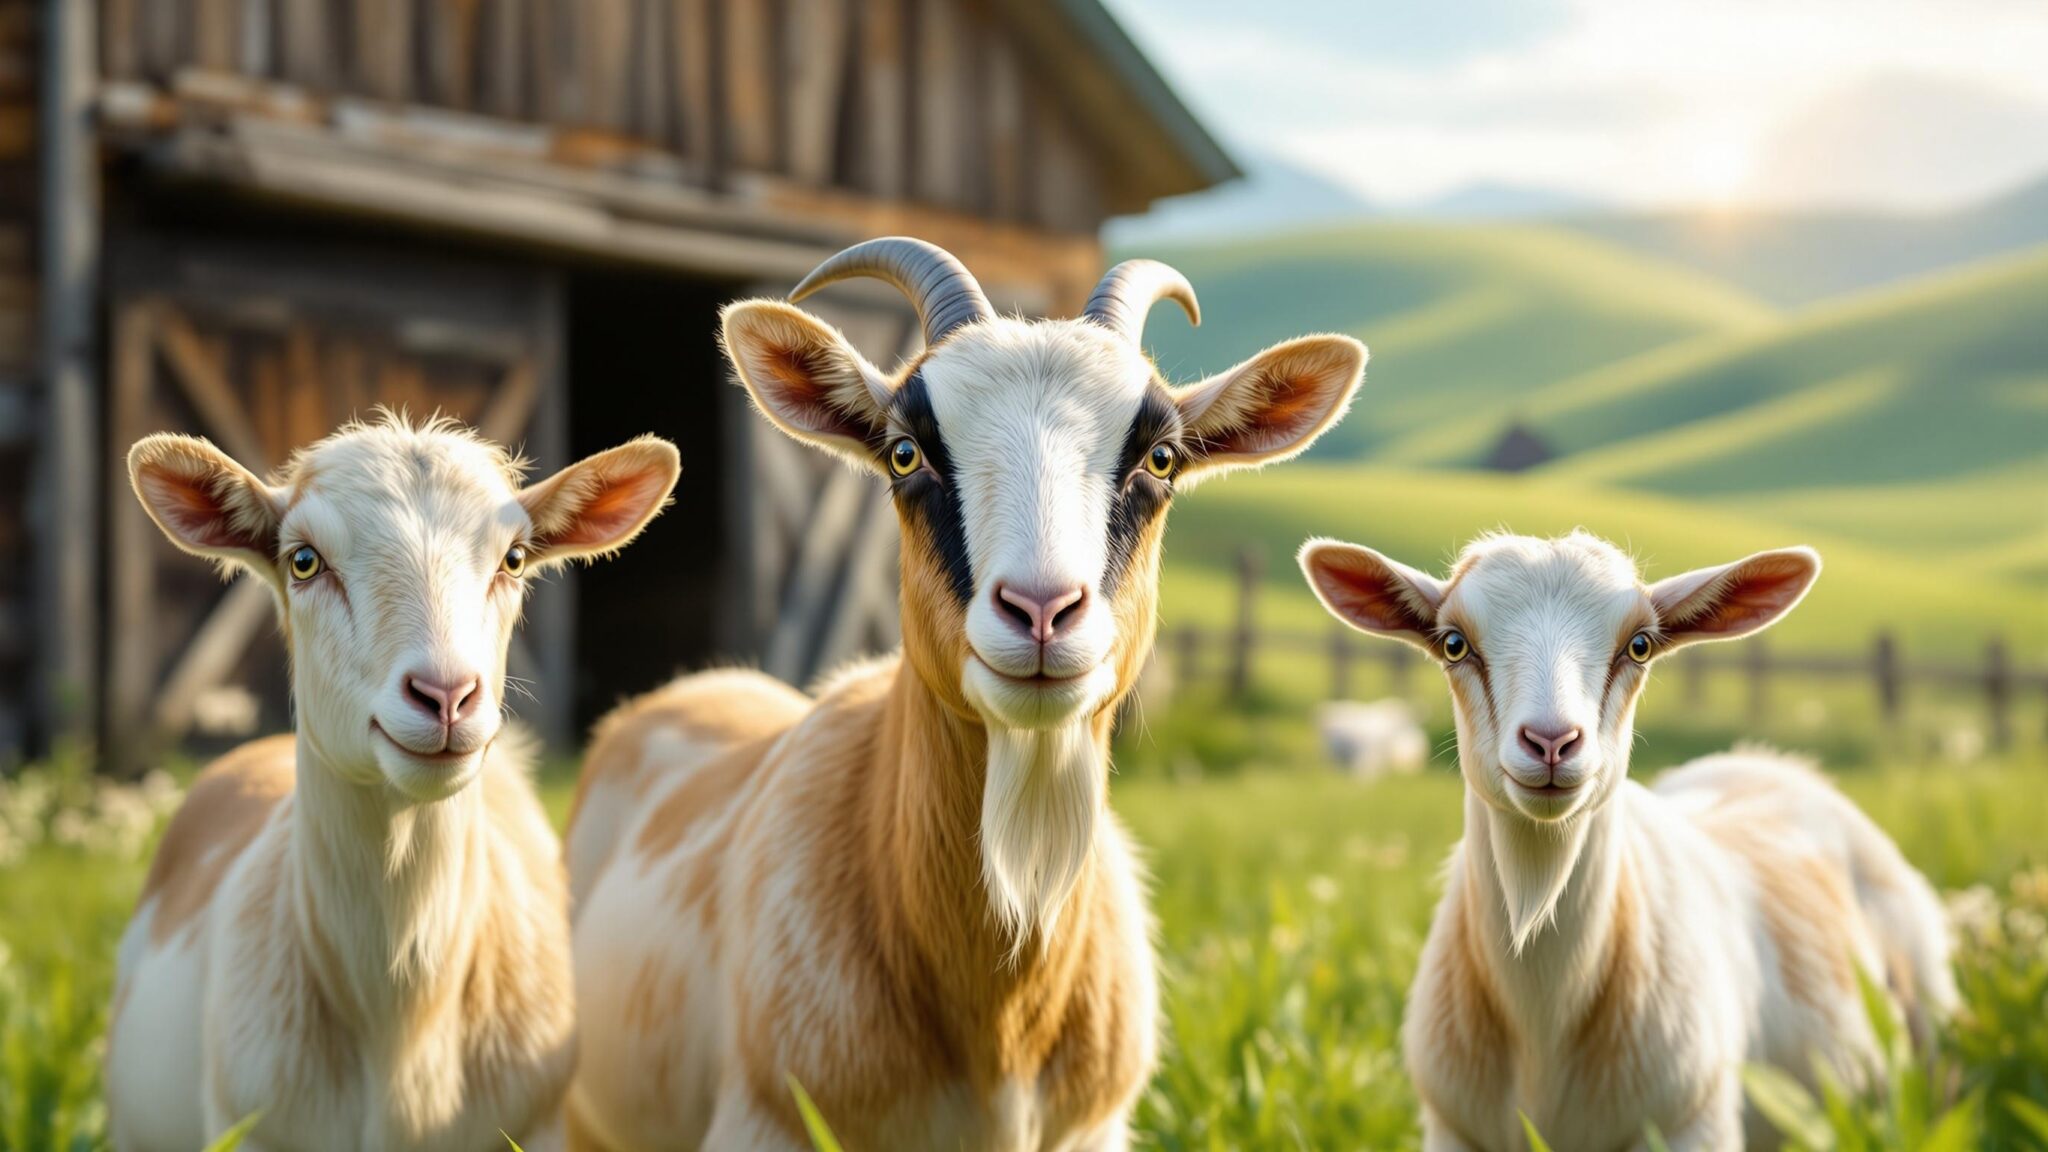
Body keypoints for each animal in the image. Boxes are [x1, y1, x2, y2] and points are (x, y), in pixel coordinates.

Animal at [1299, 531, 1955, 1152]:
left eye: (1639, 645)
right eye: (1454, 643)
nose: (1552, 742)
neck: (1543, 1024)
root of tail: (1770, 764)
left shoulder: (1695, 1123)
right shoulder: (1452, 1127)